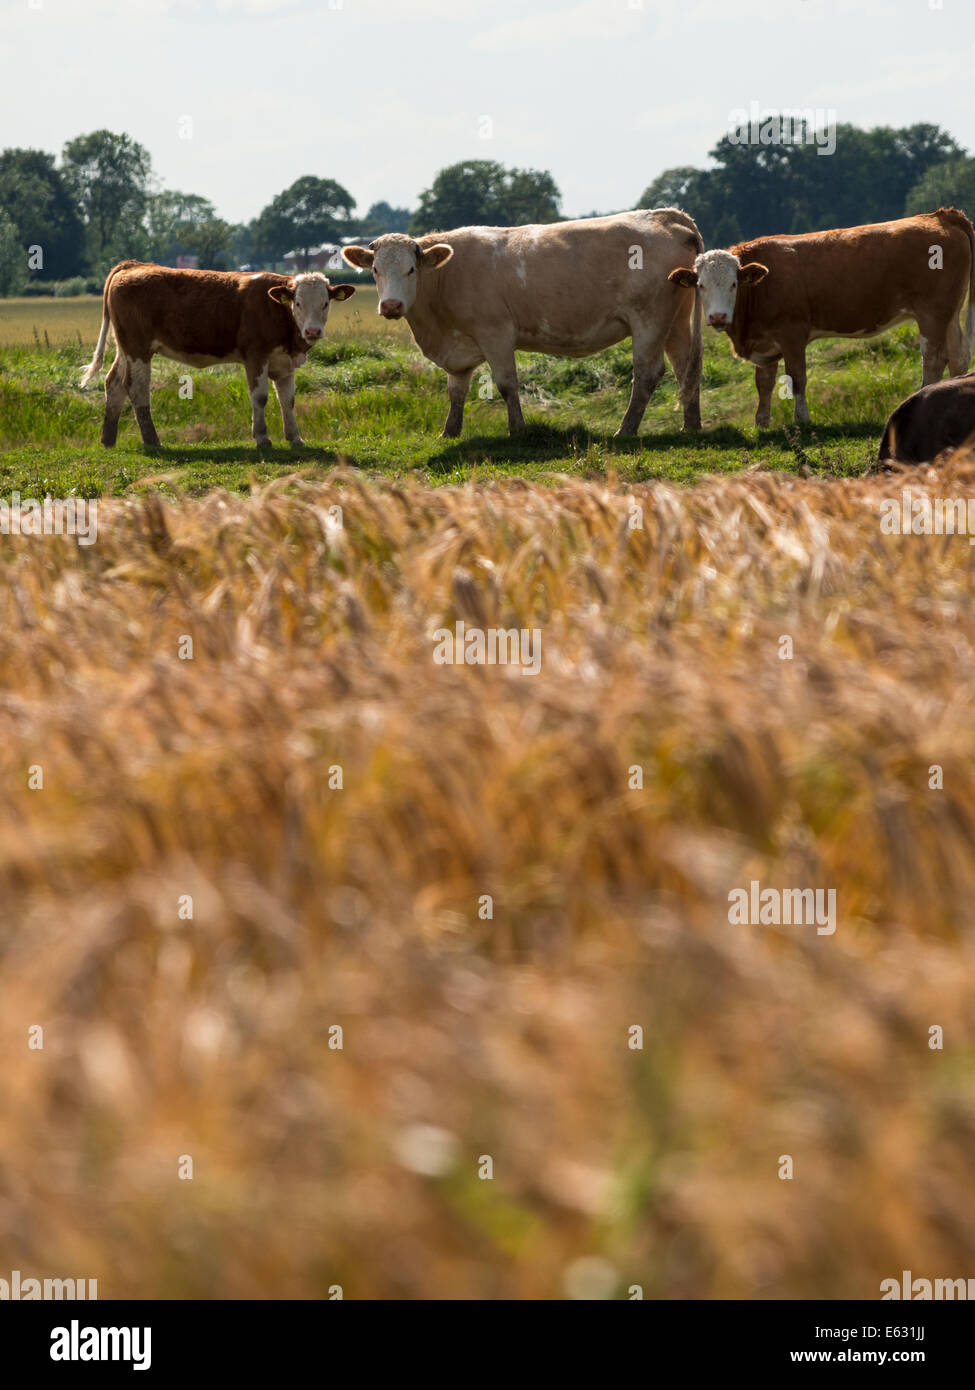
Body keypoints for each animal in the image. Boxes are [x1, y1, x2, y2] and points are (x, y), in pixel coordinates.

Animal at [80, 261, 355, 447]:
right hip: (138, 348)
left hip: (126, 347)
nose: (313, 331)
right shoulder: (256, 356)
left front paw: (295, 438)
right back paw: (152, 440)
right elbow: (260, 397)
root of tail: (134, 265)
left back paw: (108, 439)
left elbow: (287, 401)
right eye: (297, 303)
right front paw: (262, 438)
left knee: (114, 383)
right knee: (136, 388)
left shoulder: (285, 362)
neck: (280, 314)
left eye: (325, 303)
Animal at [341, 208, 704, 437]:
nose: (391, 305)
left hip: (649, 320)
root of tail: (667, 214)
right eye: (375, 270)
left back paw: (625, 429)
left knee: (647, 373)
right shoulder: (458, 348)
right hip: (676, 321)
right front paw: (450, 431)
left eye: (411, 269)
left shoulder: (495, 332)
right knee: (685, 366)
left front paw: (517, 429)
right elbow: (456, 391)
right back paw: (690, 424)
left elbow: (506, 383)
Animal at [668, 208, 975, 428]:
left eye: (734, 284)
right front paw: (761, 423)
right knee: (958, 356)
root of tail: (941, 215)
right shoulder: (765, 343)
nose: (718, 316)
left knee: (933, 358)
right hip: (949, 315)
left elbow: (797, 378)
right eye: (700, 285)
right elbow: (764, 382)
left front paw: (801, 419)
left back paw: (923, 394)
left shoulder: (792, 334)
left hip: (932, 314)